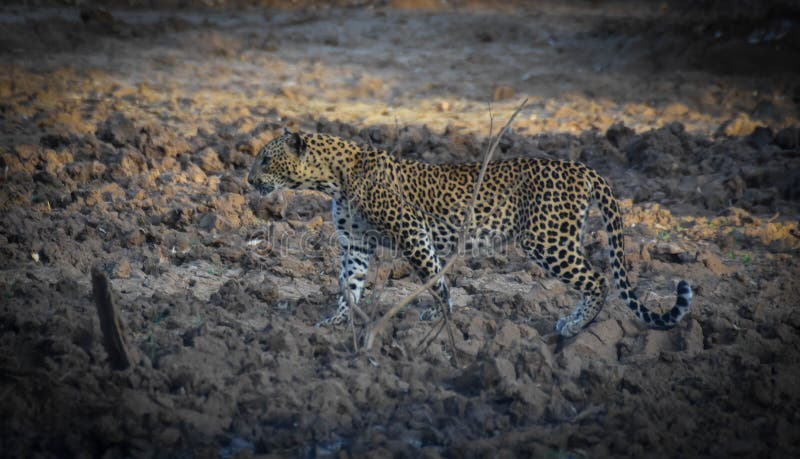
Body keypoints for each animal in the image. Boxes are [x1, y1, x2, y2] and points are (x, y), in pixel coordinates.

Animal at [247, 129, 693, 337]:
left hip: (546, 238)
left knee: (598, 279)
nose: (248, 180)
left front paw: (444, 320)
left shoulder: (411, 230)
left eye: (266, 159)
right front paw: (336, 323)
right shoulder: (355, 243)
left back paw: (575, 326)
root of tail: (583, 167)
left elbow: (434, 278)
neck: (333, 179)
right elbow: (350, 284)